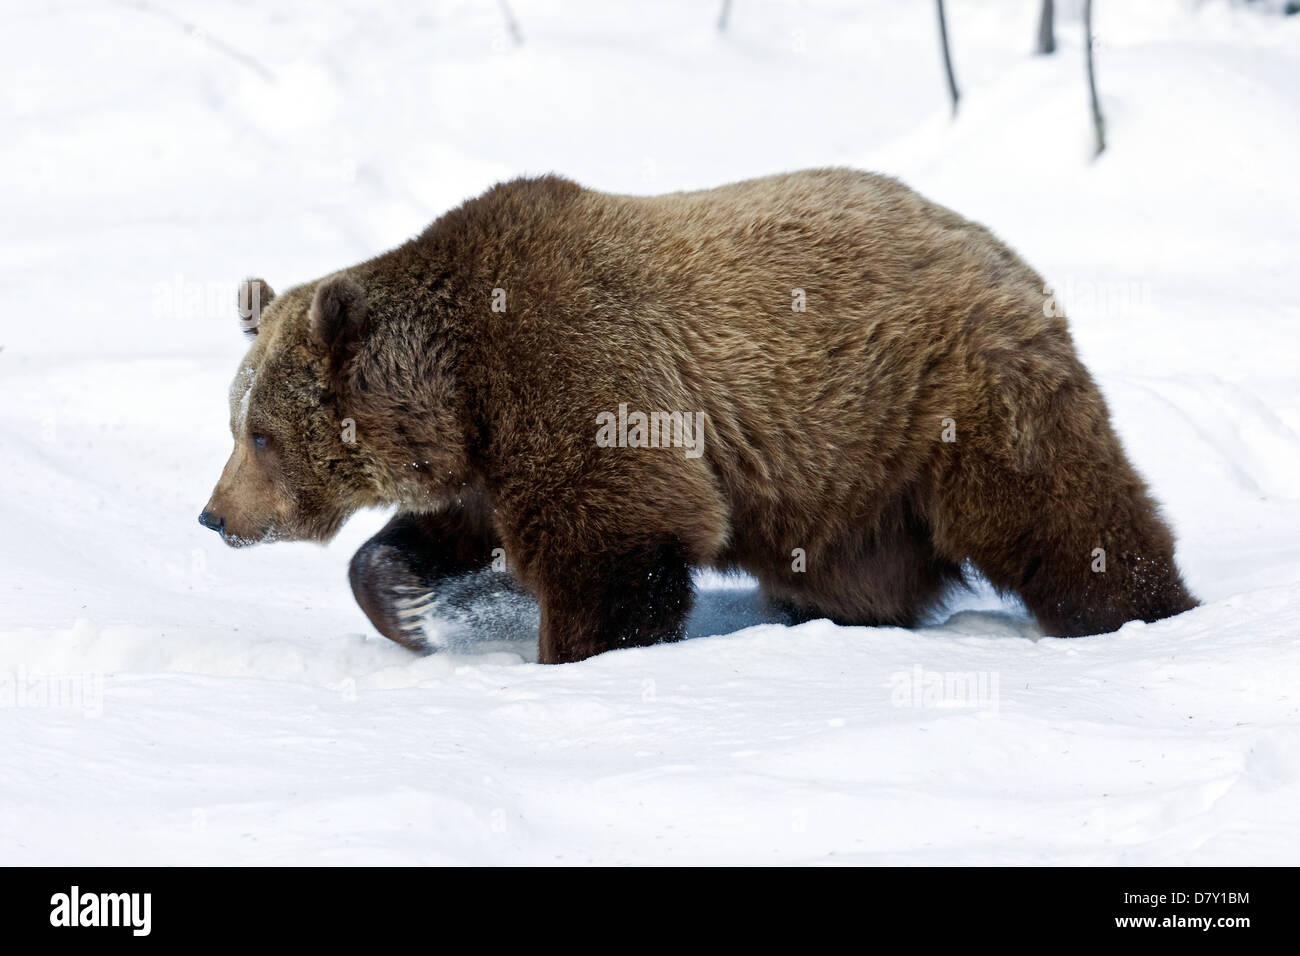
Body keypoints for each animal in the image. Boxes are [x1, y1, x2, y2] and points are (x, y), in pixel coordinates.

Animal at [199, 169, 1197, 663]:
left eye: (261, 433)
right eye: (232, 420)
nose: (215, 515)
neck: (459, 388)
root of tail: (996, 248)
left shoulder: (583, 383)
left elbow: (615, 548)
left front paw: (571, 654)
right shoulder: (490, 455)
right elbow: (447, 534)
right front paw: (409, 604)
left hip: (944, 394)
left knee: (1058, 513)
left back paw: (1143, 610)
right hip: (851, 481)